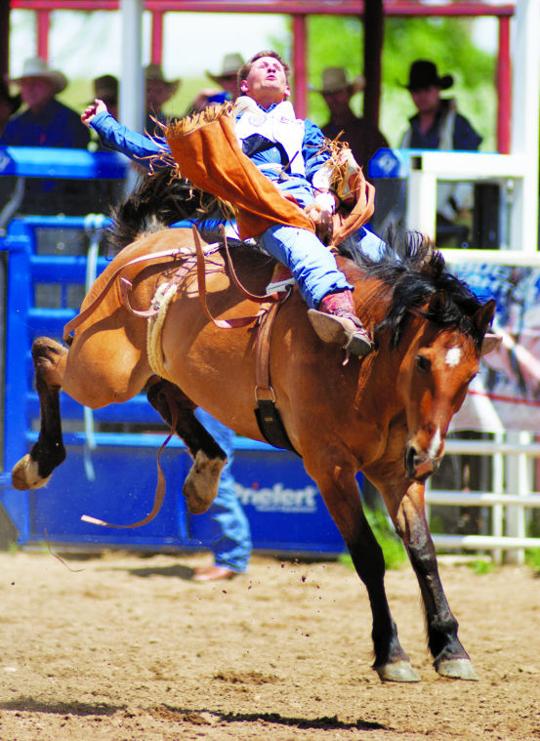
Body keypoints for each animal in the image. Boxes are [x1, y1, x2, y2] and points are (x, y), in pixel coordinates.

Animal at [11, 172, 495, 683]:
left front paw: (450, 645)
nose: (429, 456)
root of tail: (143, 242)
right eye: (422, 361)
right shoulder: (331, 468)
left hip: (160, 369)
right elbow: (368, 555)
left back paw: (204, 474)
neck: (364, 361)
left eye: (471, 374)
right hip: (102, 372)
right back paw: (37, 463)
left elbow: (423, 550)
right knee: (46, 355)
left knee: (161, 393)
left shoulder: (395, 471)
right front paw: (392, 653)